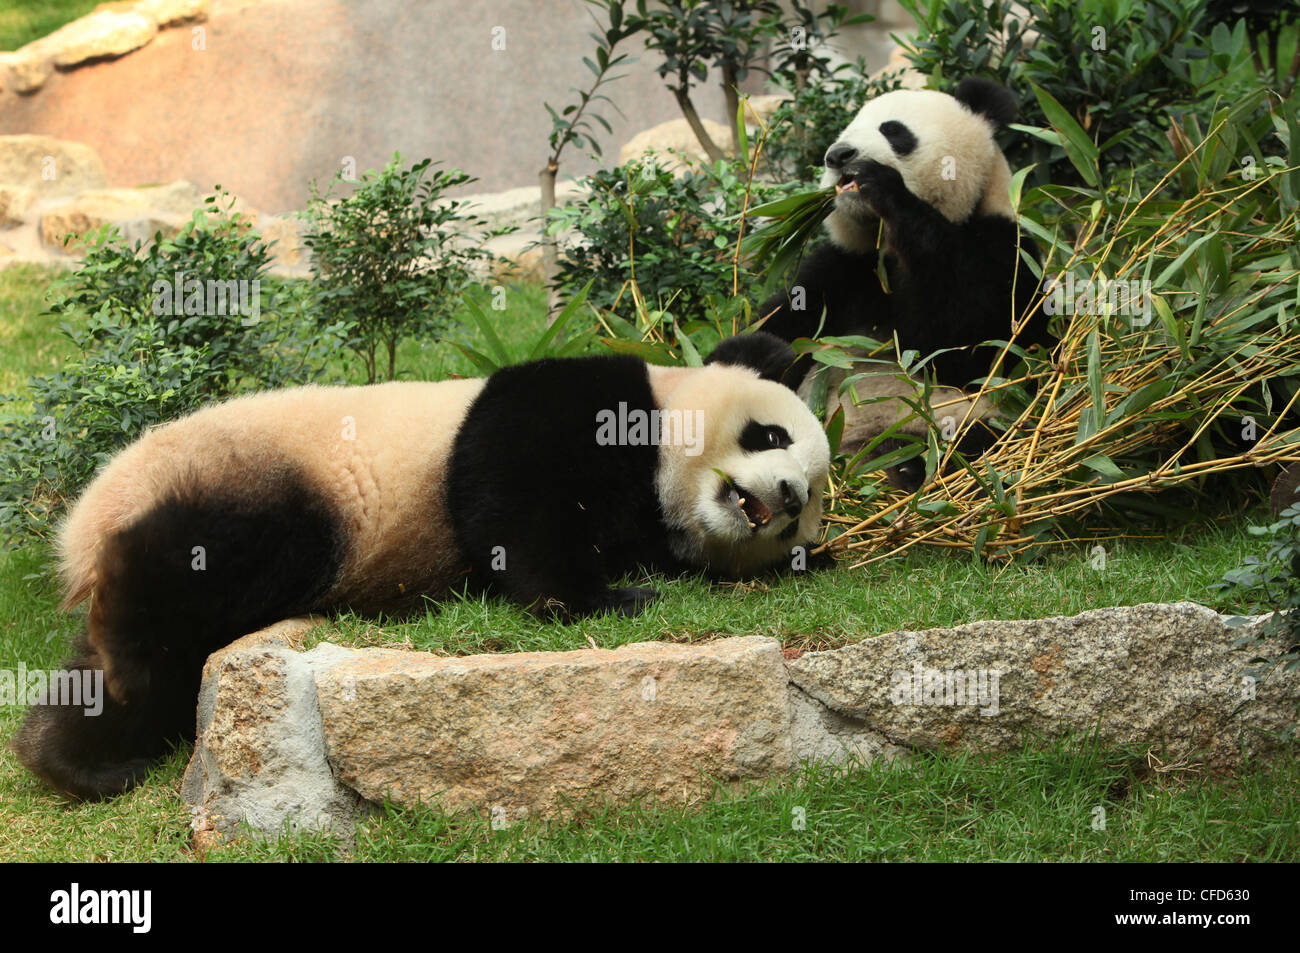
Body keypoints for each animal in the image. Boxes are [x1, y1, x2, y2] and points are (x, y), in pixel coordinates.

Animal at [13, 333, 830, 800]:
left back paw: (76, 757)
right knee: (210, 553)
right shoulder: (583, 399)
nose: (789, 494)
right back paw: (121, 644)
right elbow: (507, 491)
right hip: (273, 480)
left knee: (150, 662)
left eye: (808, 509)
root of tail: (84, 528)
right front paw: (601, 597)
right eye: (771, 434)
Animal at [754, 78, 1056, 485]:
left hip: (946, 422)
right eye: (844, 131)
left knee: (964, 441)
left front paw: (879, 183)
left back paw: (905, 463)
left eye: (893, 130)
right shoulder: (844, 267)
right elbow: (787, 323)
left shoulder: (1007, 254)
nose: (838, 155)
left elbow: (973, 346)